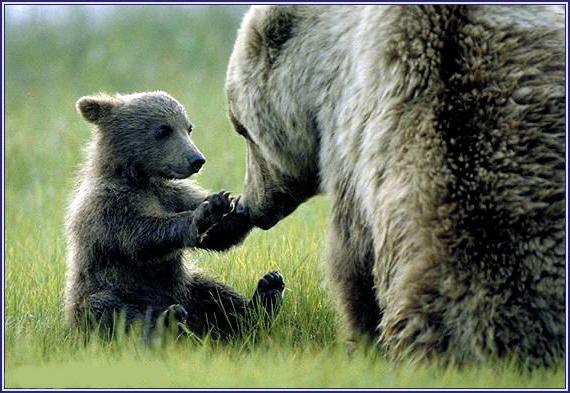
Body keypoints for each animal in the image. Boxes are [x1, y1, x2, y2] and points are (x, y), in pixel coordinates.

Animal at [64, 91, 284, 336]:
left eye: (188, 128)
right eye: (163, 129)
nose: (197, 160)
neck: (140, 179)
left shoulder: (175, 194)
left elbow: (220, 236)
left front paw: (241, 202)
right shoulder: (108, 206)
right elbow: (140, 236)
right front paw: (204, 213)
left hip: (188, 289)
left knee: (217, 297)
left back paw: (266, 295)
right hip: (99, 294)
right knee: (109, 308)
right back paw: (166, 320)